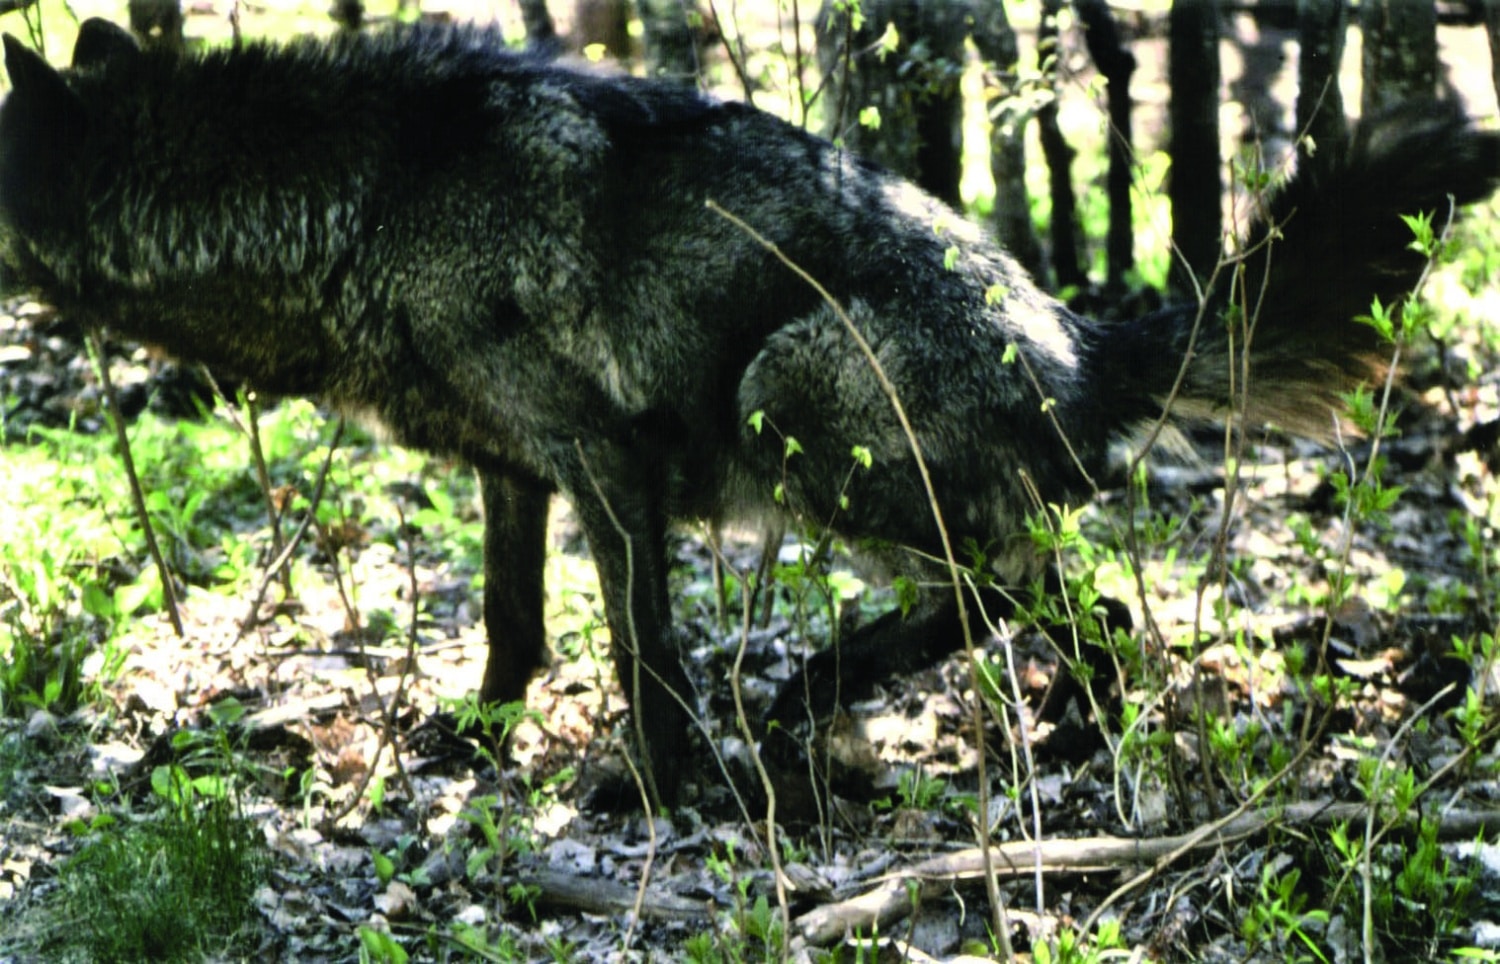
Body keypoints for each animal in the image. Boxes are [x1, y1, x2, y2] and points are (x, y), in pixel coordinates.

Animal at [2, 18, 1496, 804]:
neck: (373, 190)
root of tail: (1078, 335)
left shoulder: (605, 467)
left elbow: (640, 657)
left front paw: (653, 790)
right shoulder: (511, 472)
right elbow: (512, 627)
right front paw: (479, 740)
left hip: (784, 389)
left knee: (1016, 593)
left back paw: (821, 692)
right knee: (1093, 612)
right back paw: (1069, 738)